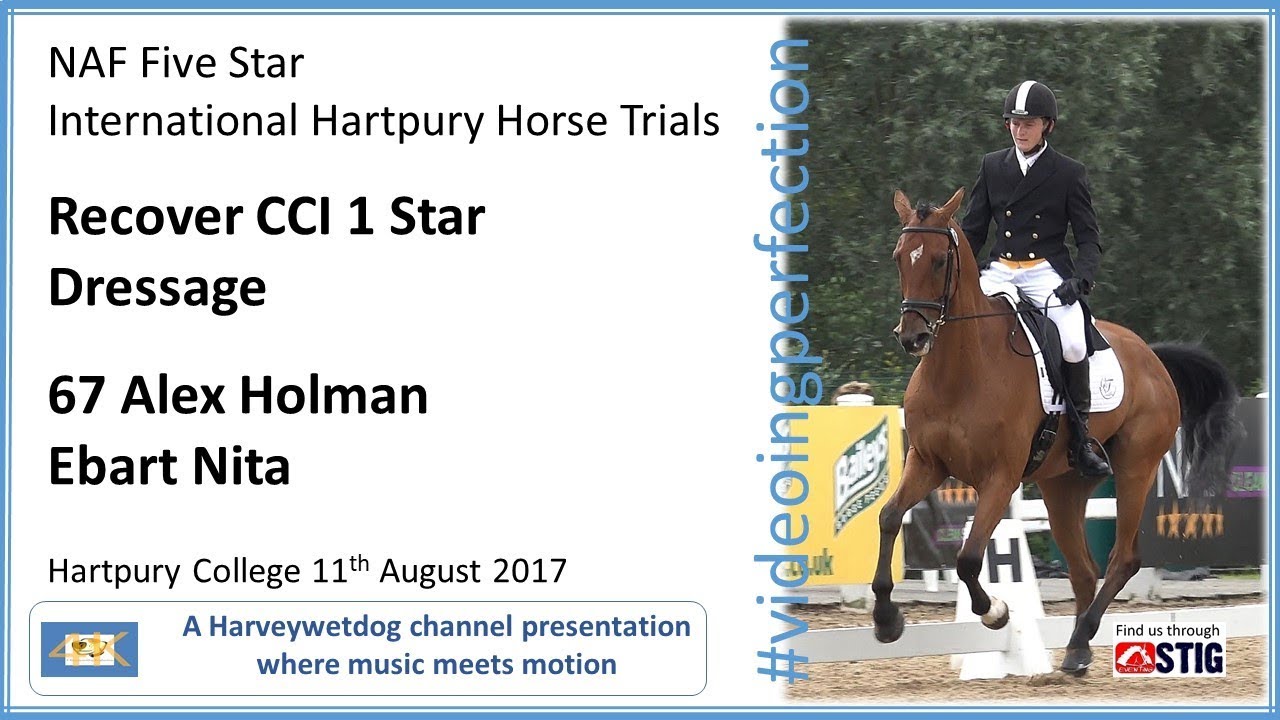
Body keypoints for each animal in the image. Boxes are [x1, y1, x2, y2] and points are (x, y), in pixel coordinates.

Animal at [873, 187, 1242, 676]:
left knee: (1122, 558)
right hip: (1062, 486)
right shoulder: (927, 462)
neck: (961, 369)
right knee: (1084, 570)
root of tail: (1152, 356)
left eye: (937, 260)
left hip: (1135, 468)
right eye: (899, 257)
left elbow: (969, 559)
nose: (911, 336)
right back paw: (1076, 650)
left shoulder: (1000, 477)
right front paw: (886, 619)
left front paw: (997, 613)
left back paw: (1081, 639)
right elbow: (890, 517)